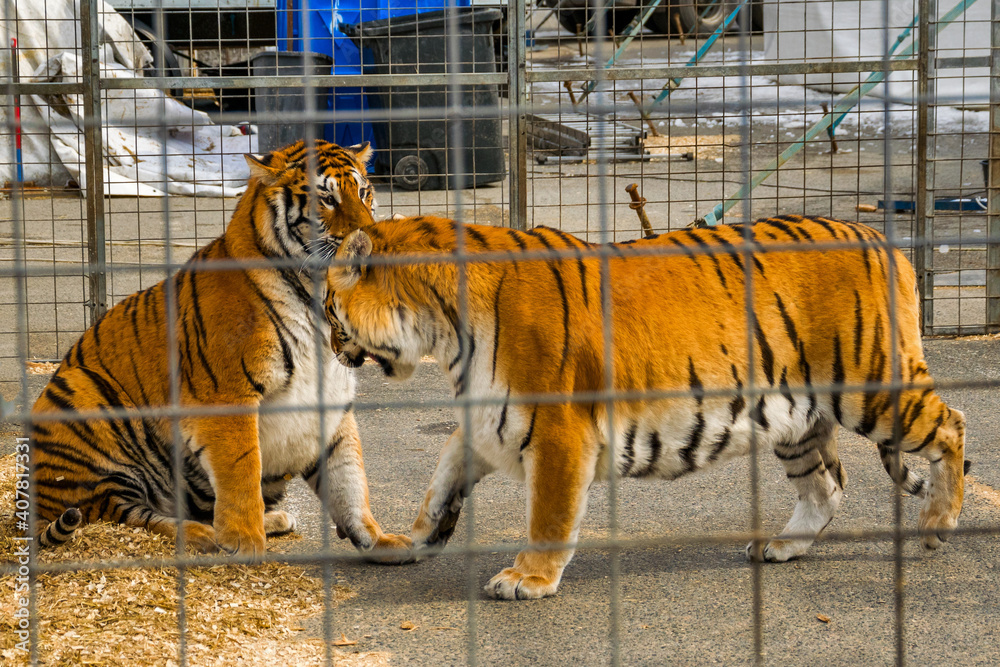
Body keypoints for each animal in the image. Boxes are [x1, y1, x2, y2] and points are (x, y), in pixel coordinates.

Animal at [29, 139, 411, 563]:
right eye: (326, 199)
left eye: (364, 193)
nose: (369, 239)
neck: (315, 297)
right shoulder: (227, 394)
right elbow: (241, 470)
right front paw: (244, 542)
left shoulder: (330, 399)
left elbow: (350, 479)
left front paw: (378, 540)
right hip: (84, 402)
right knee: (120, 515)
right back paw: (204, 534)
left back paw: (266, 519)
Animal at [324, 213, 968, 599]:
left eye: (330, 306)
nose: (331, 345)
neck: (441, 328)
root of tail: (882, 239)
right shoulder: (487, 421)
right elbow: (440, 481)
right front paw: (412, 541)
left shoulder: (558, 430)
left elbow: (549, 516)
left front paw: (528, 579)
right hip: (796, 418)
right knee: (826, 488)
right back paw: (782, 546)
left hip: (872, 387)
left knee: (953, 426)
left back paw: (939, 522)